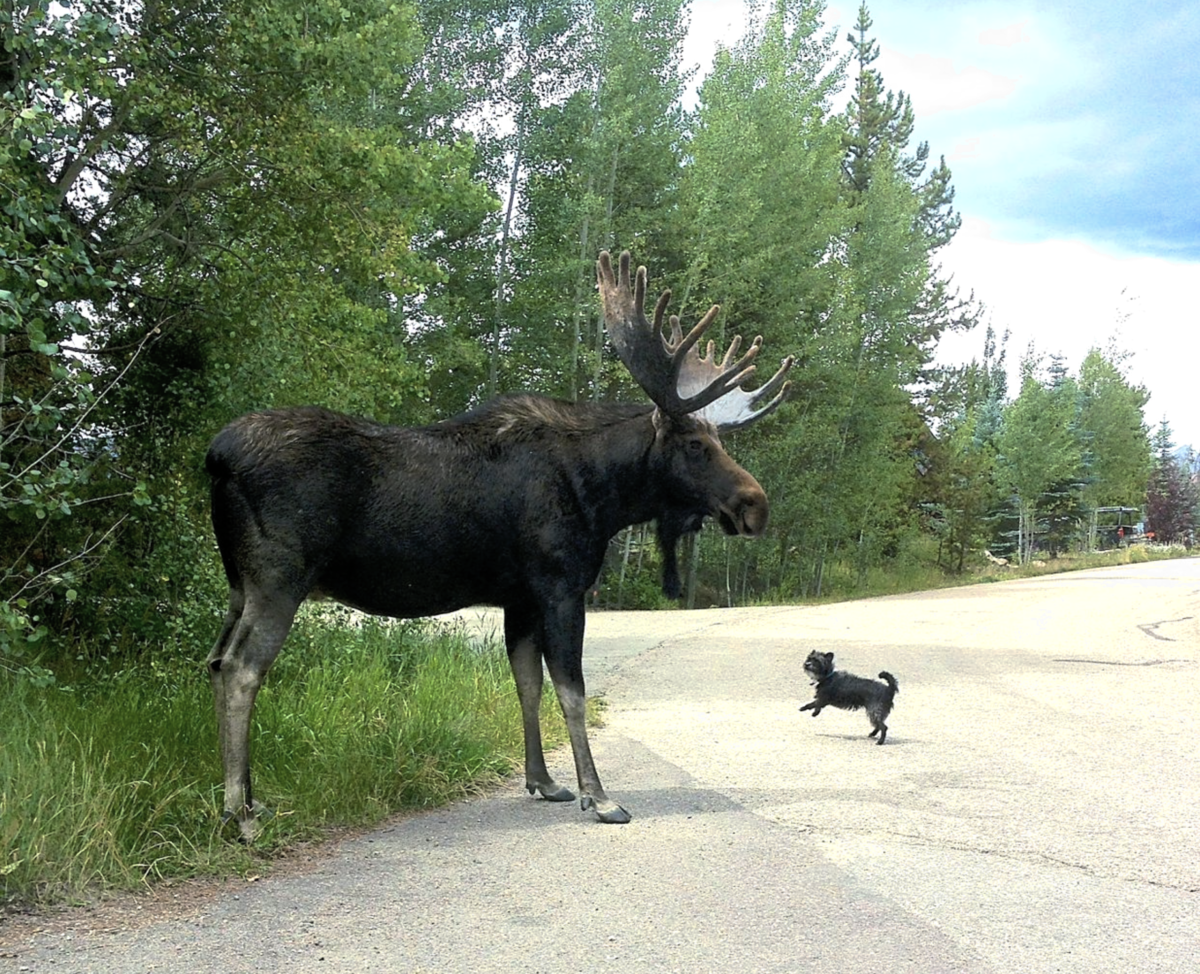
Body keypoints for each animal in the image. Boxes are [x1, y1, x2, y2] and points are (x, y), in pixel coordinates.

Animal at [202, 249, 792, 834]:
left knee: (214, 660)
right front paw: (598, 796)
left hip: (239, 583)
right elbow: (572, 691)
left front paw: (544, 781)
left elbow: (527, 683)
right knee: (240, 668)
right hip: (279, 579)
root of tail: (217, 456)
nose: (755, 505)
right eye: (695, 445)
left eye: (716, 441)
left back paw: (250, 800)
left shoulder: (519, 597)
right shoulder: (560, 585)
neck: (602, 496)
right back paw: (239, 814)